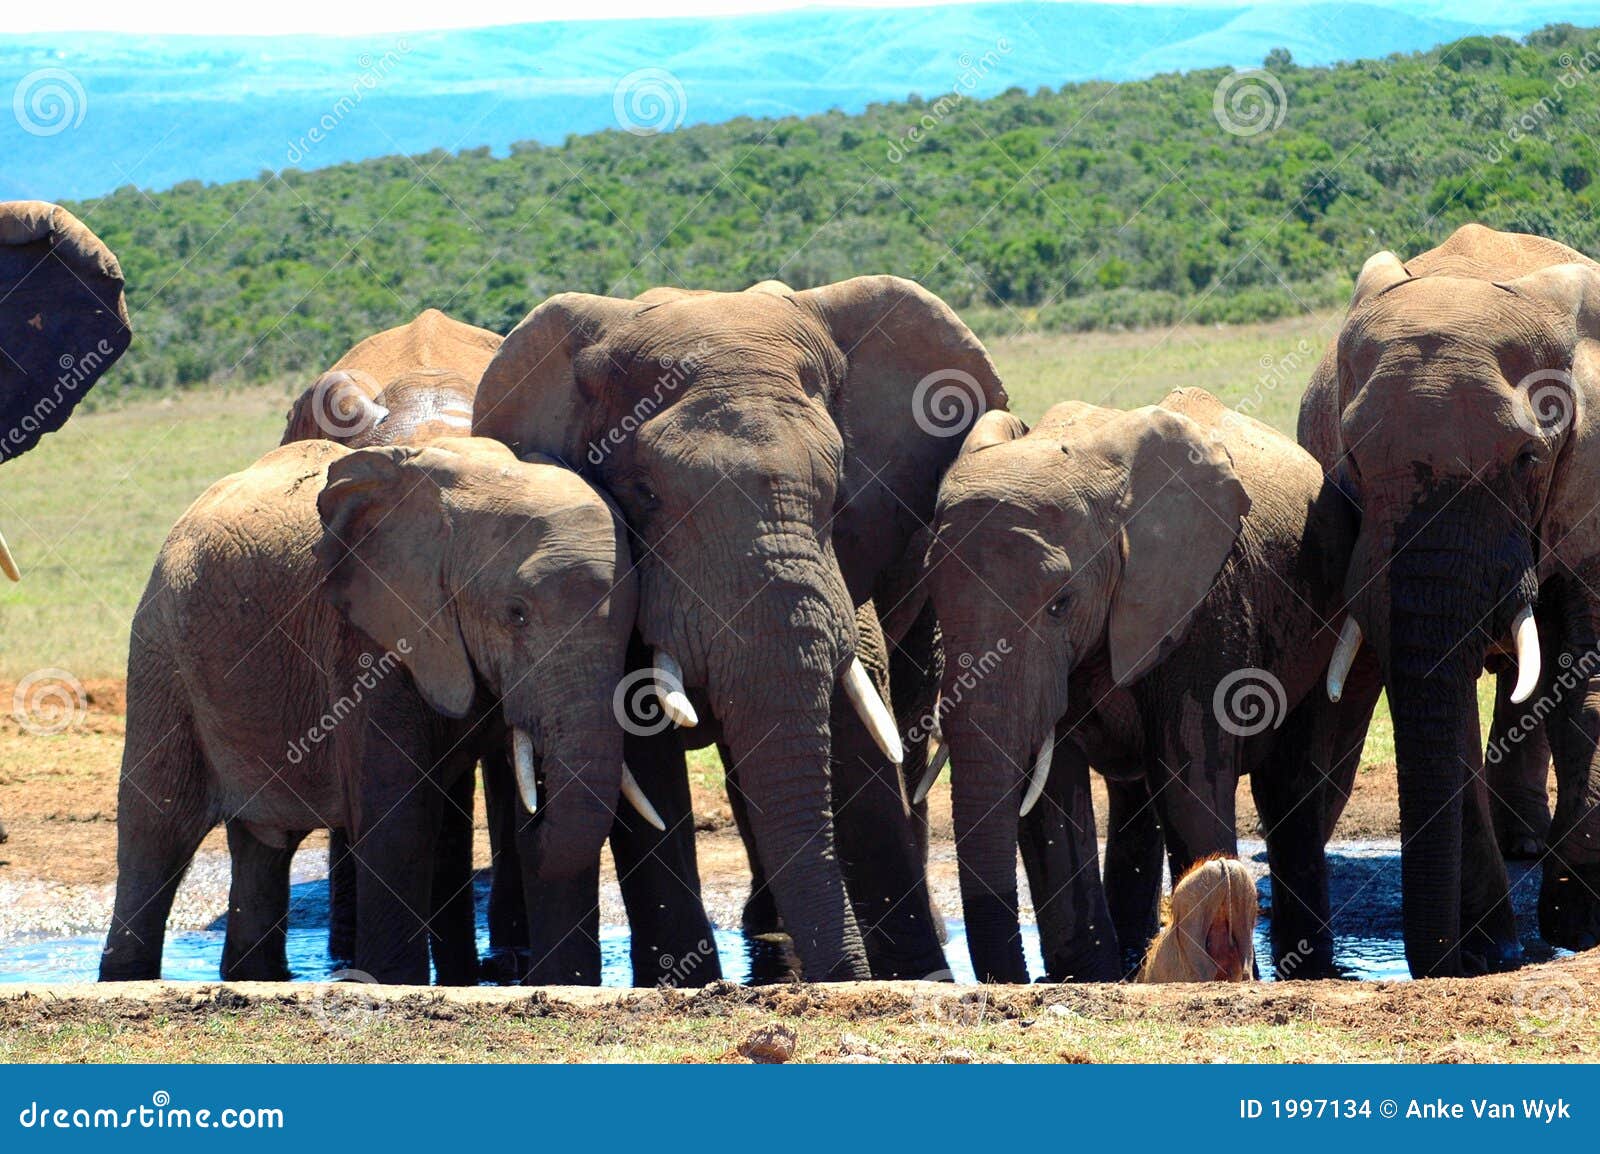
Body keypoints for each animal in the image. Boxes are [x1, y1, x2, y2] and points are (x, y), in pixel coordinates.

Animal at [99, 436, 655, 984]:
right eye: (515, 614)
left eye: (631, 623)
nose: (535, 817)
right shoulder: (365, 639)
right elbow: (400, 816)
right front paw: (392, 981)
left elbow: (440, 820)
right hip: (161, 652)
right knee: (157, 828)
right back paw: (126, 978)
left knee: (264, 846)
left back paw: (254, 977)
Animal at [473, 276, 1008, 980]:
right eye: (644, 496)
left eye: (836, 492)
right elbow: (639, 747)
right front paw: (686, 982)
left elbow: (857, 724)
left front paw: (921, 978)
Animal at [919, 388, 1361, 983]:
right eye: (933, 597)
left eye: (1061, 603)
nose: (1010, 978)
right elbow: (1051, 795)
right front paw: (1087, 975)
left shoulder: (1204, 605)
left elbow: (1186, 775)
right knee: (1135, 793)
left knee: (1287, 785)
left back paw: (1308, 966)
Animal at [1301, 223, 1600, 974]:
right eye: (1350, 457)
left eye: (1528, 458)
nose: (1433, 959)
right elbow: (1444, 694)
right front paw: (1492, 950)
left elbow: (1584, 684)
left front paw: (1577, 926)